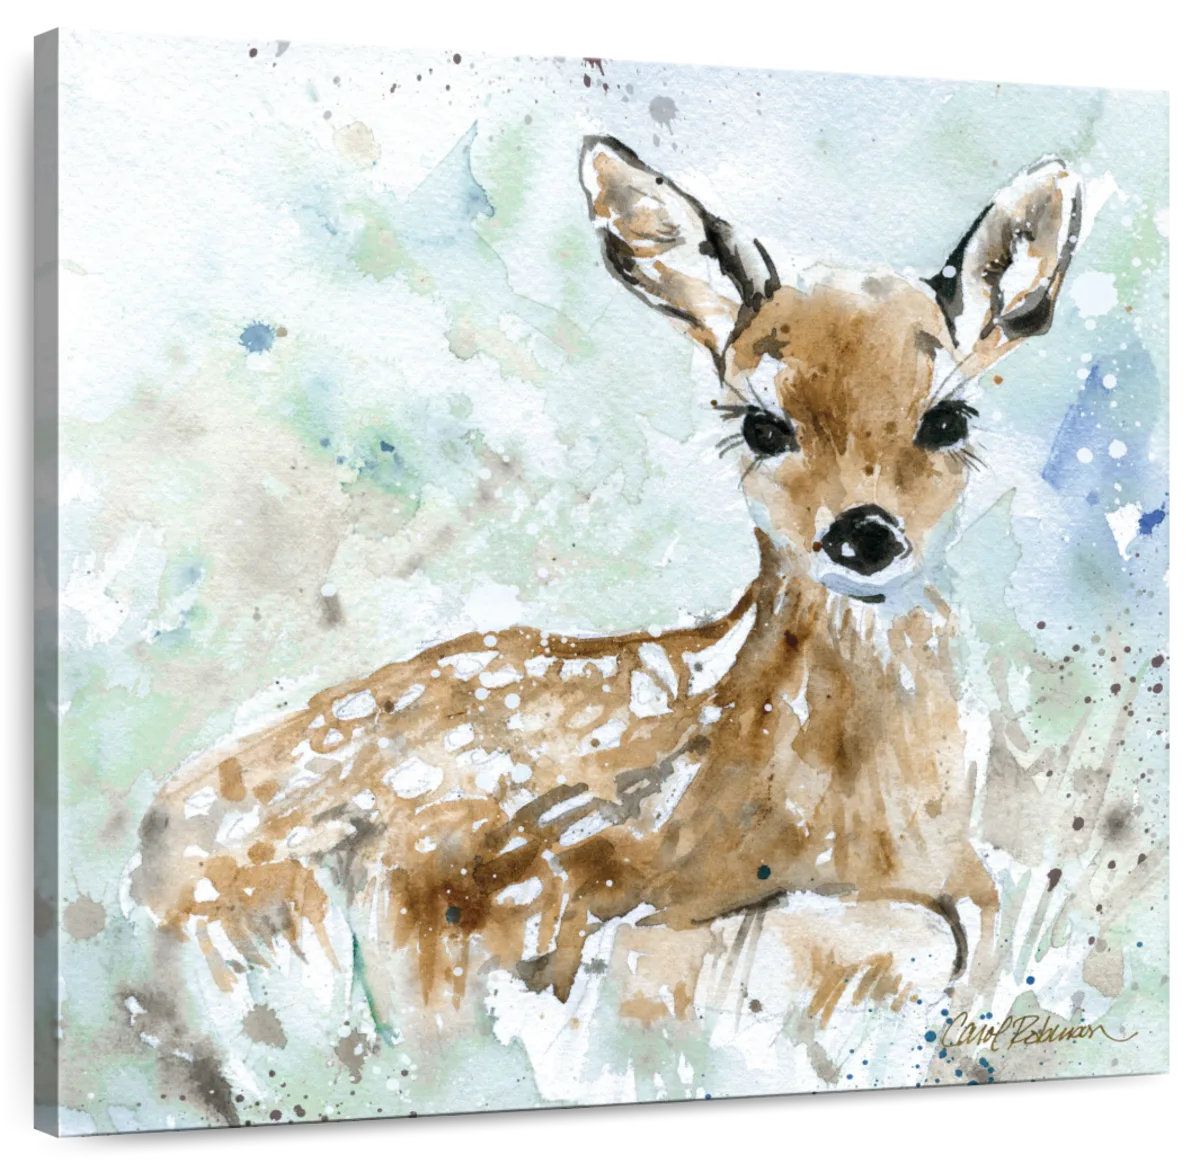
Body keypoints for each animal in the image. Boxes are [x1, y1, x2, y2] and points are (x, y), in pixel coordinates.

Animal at [128, 137, 1084, 1035]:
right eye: (763, 425)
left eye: (947, 417)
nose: (865, 532)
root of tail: (151, 837)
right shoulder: (529, 893)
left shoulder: (965, 886)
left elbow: (975, 933)